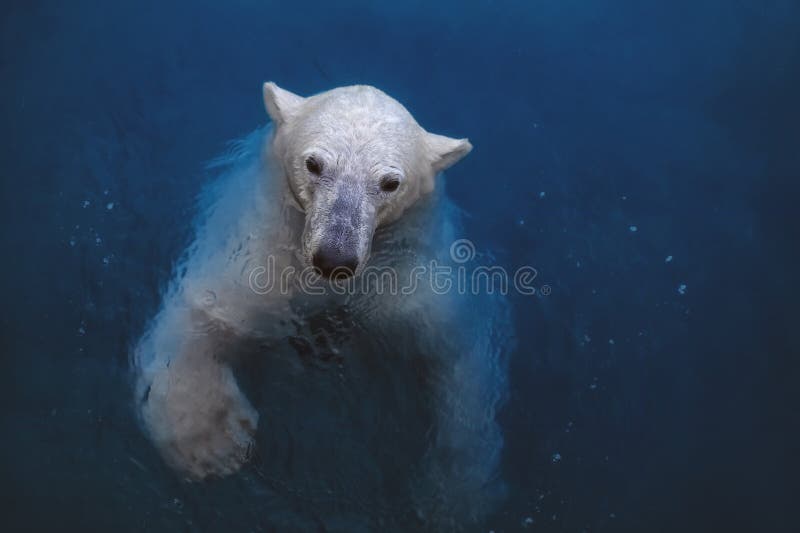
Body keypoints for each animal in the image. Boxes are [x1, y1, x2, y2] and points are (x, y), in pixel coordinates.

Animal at [133, 82, 514, 531]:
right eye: (314, 164)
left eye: (390, 182)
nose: (335, 258)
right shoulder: (259, 250)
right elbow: (209, 312)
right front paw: (214, 446)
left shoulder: (410, 280)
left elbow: (457, 359)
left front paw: (455, 498)